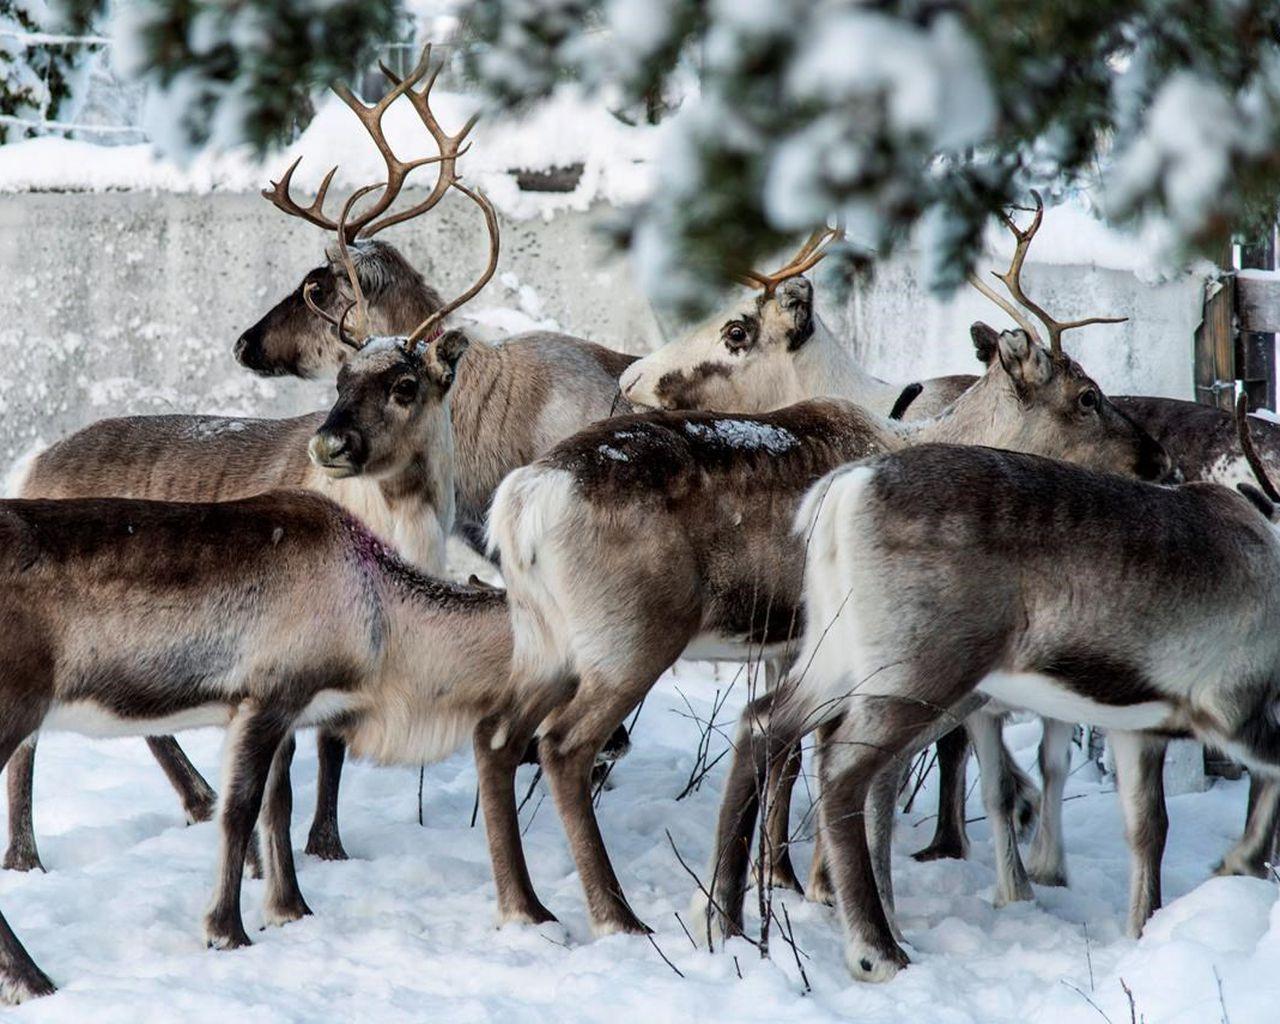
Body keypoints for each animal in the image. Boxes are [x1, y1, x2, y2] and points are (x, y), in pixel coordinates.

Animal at [3, 56, 499, 875]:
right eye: (339, 380)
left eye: (405, 383)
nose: (330, 446)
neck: (401, 522)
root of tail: (31, 463)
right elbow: (298, 759)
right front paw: (289, 854)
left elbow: (333, 745)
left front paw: (327, 846)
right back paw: (27, 856)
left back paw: (197, 799)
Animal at [483, 269, 1173, 937]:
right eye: (1088, 396)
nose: (1160, 459)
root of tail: (522, 499)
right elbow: (821, 756)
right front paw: (821, 885)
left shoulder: (791, 645)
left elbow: (795, 755)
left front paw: (791, 880)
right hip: (629, 641)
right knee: (563, 747)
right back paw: (615, 916)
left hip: (542, 641)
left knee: (496, 735)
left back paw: (527, 907)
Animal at [704, 394, 1280, 983]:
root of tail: (844, 489)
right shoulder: (1232, 708)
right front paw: (1239, 862)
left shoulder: (1138, 727)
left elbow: (1149, 828)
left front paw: (1145, 928)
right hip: (919, 671)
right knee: (844, 768)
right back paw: (877, 951)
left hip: (836, 656)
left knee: (763, 724)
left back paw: (725, 919)